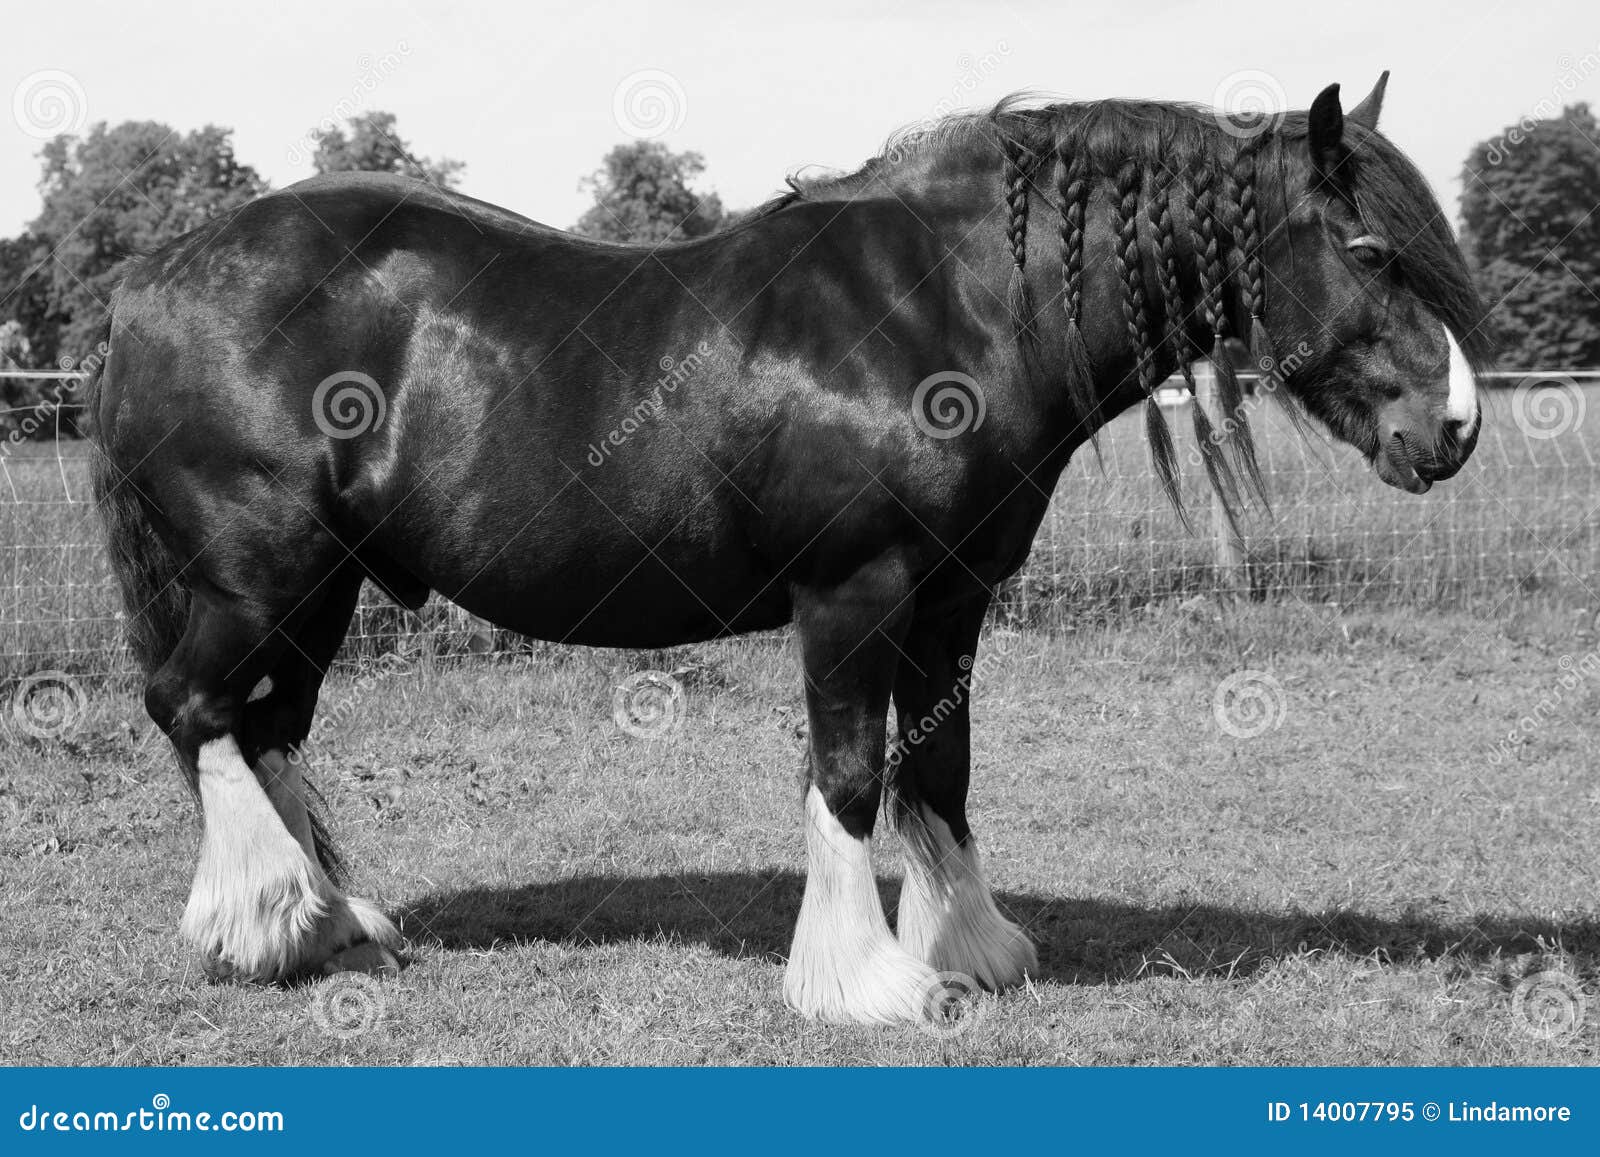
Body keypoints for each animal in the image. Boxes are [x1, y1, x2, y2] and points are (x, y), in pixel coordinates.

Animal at [87, 74, 1492, 1024]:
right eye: (1368, 249)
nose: (1455, 426)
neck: (952, 308)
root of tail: (152, 278)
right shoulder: (852, 595)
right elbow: (854, 777)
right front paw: (866, 978)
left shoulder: (951, 604)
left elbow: (942, 774)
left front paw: (969, 949)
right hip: (256, 572)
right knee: (194, 706)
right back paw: (263, 924)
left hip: (317, 589)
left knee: (265, 726)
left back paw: (333, 923)